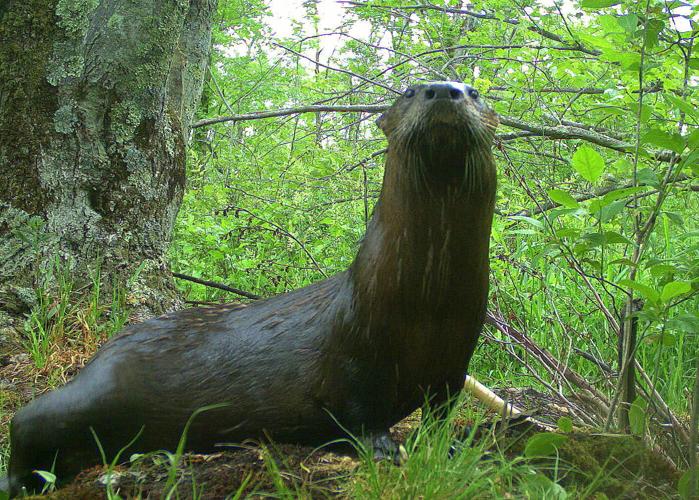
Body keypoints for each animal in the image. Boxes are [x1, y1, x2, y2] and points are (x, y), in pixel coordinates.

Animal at [3, 81, 498, 496]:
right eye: (410, 91)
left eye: (475, 91)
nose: (444, 90)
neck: (427, 298)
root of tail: (105, 350)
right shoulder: (355, 354)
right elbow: (358, 410)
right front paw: (383, 447)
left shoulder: (455, 360)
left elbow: (441, 412)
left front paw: (452, 447)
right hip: (103, 390)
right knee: (26, 419)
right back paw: (20, 480)